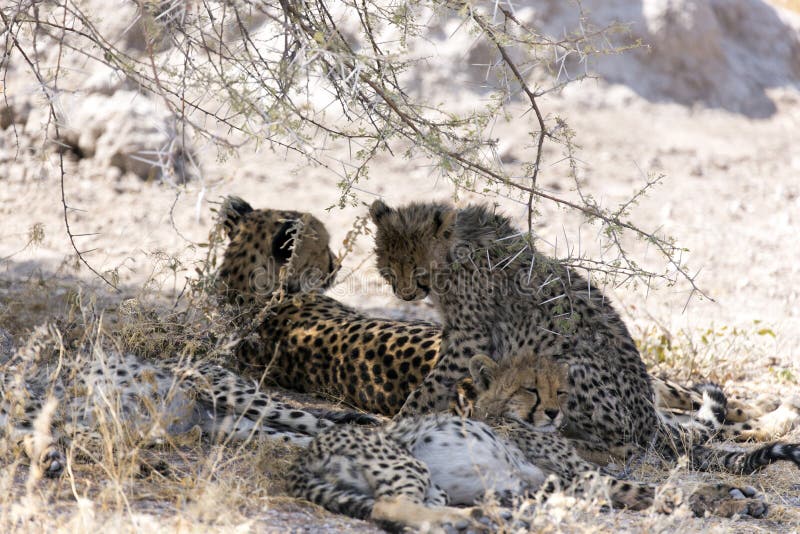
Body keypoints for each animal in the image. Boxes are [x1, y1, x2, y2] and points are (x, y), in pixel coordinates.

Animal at [1, 326, 374, 479]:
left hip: (235, 395)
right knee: (301, 437)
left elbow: (91, 441)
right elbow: (34, 443)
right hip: (235, 428)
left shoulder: (67, 418)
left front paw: (143, 465)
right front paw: (49, 460)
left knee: (319, 424)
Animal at [288, 348, 770, 531]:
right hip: (407, 462)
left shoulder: (560, 481)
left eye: (562, 391)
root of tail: (301, 461)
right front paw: (732, 502)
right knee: (388, 508)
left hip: (435, 486)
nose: (555, 413)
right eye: (531, 389)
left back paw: (480, 517)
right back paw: (468, 520)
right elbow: (665, 492)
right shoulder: (588, 479)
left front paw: (740, 495)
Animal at [369, 199, 800, 473]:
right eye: (388, 268)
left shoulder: (469, 336)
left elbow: (431, 385)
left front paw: (401, 422)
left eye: (418, 270)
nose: (404, 294)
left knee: (624, 447)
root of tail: (649, 417)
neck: (456, 247)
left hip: (570, 365)